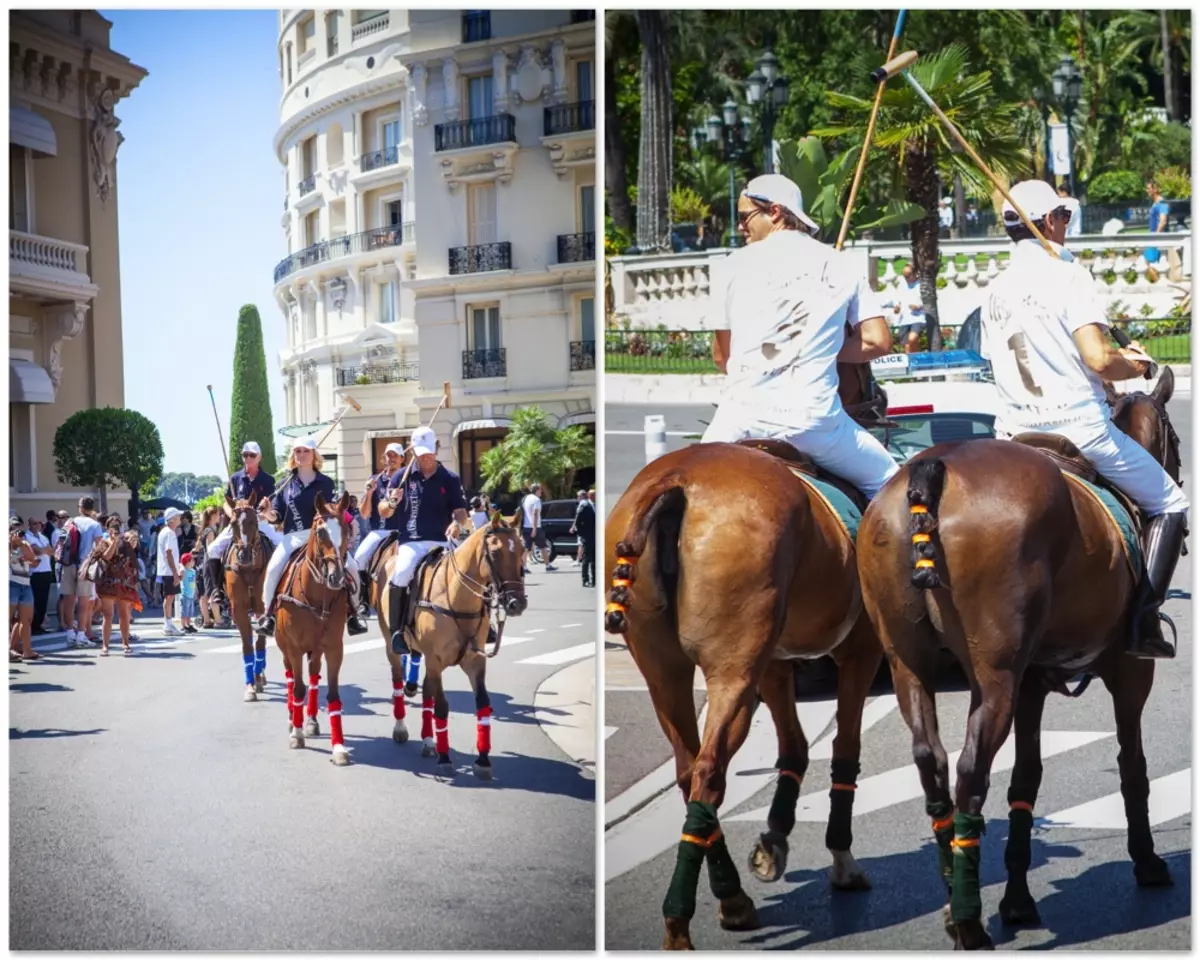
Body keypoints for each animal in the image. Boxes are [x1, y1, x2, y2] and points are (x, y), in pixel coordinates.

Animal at [277, 492, 355, 768]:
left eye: (346, 530)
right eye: (320, 532)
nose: (337, 577)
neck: (315, 594)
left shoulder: (333, 648)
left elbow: (332, 695)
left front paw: (338, 747)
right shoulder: (293, 647)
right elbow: (297, 688)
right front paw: (296, 735)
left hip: (316, 650)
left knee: (313, 676)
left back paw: (309, 720)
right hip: (285, 648)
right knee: (292, 678)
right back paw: (293, 719)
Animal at [374, 513, 525, 777]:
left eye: (522, 550)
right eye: (495, 553)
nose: (517, 603)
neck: (456, 596)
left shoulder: (475, 661)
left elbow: (483, 703)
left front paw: (483, 760)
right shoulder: (436, 660)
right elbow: (442, 706)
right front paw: (445, 758)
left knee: (426, 692)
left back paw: (427, 740)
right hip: (392, 647)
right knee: (398, 684)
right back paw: (401, 729)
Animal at [604, 441, 888, 950]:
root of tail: (676, 480)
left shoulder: (774, 663)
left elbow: (794, 747)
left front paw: (775, 842)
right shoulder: (861, 651)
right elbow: (844, 749)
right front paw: (841, 859)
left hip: (667, 673)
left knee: (690, 771)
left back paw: (730, 899)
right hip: (733, 670)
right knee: (708, 772)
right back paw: (682, 922)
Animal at [859, 369, 1185, 950]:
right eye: (1174, 439)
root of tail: (929, 468)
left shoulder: (1033, 679)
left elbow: (1026, 779)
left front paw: (1016, 899)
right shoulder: (1130, 672)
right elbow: (1133, 766)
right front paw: (1147, 862)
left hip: (908, 665)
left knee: (932, 763)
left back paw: (954, 903)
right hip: (997, 678)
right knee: (969, 772)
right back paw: (969, 923)